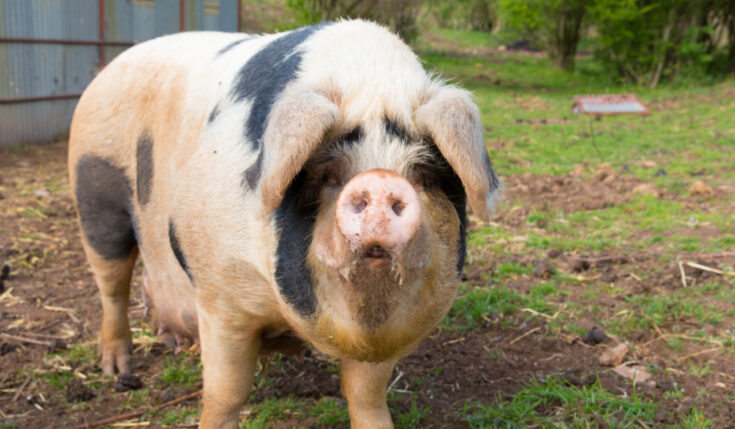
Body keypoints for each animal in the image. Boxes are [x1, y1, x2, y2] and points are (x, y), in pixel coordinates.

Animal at [68, 20, 500, 429]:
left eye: (424, 175)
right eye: (327, 174)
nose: (380, 180)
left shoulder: (385, 340)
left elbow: (365, 392)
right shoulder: (219, 295)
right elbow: (226, 391)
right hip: (94, 194)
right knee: (111, 285)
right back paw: (115, 369)